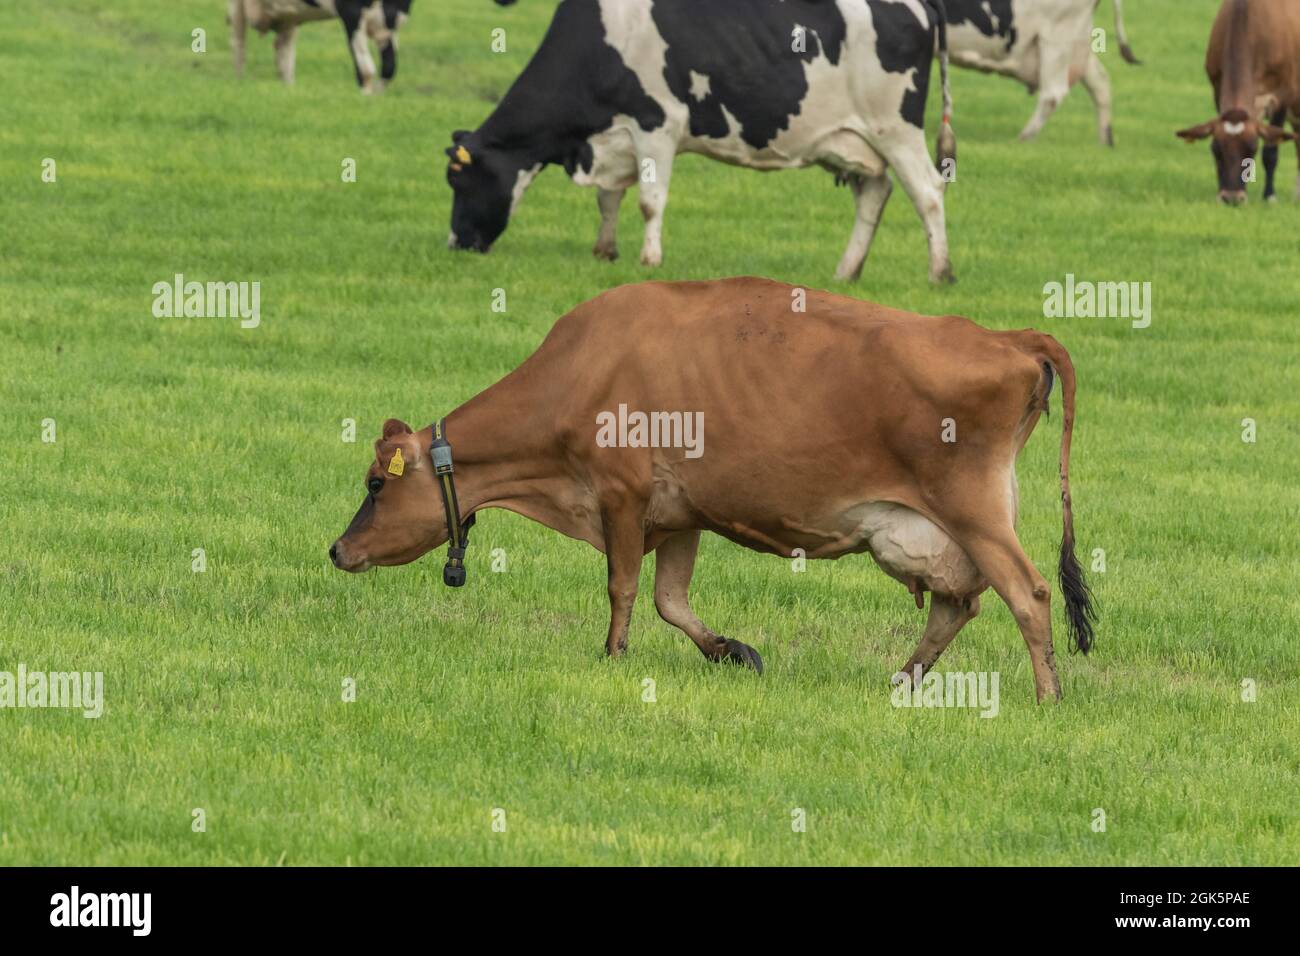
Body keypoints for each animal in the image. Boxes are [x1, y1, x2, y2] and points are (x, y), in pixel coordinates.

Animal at [228, 0, 413, 92]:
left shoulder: (392, 22)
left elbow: (389, 68)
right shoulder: (350, 11)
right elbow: (366, 70)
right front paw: (365, 100)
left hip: (290, 15)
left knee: (284, 48)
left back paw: (288, 89)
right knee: (238, 43)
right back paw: (239, 83)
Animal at [329, 278, 1097, 703]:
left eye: (375, 484)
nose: (337, 549)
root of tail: (1008, 336)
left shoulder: (622, 494)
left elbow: (624, 588)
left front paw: (613, 655)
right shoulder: (681, 512)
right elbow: (672, 600)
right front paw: (731, 650)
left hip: (973, 511)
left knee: (1028, 593)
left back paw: (1049, 695)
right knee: (957, 604)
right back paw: (903, 680)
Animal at [445, 0, 960, 284]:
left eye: (458, 180)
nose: (455, 243)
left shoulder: (657, 124)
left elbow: (649, 201)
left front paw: (649, 259)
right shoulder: (618, 136)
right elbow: (609, 198)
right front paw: (605, 251)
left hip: (895, 127)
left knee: (928, 192)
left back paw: (940, 273)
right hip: (852, 143)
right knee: (875, 194)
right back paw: (846, 272)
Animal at [944, 0, 1140, 145]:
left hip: (1057, 37)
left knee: (1053, 94)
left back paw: (1022, 140)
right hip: (1079, 43)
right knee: (1100, 82)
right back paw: (1104, 142)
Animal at [1176, 0, 1300, 205]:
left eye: (1252, 149)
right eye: (1216, 150)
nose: (1232, 198)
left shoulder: (1283, 94)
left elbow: (1271, 150)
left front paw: (1269, 196)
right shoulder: (1217, 88)